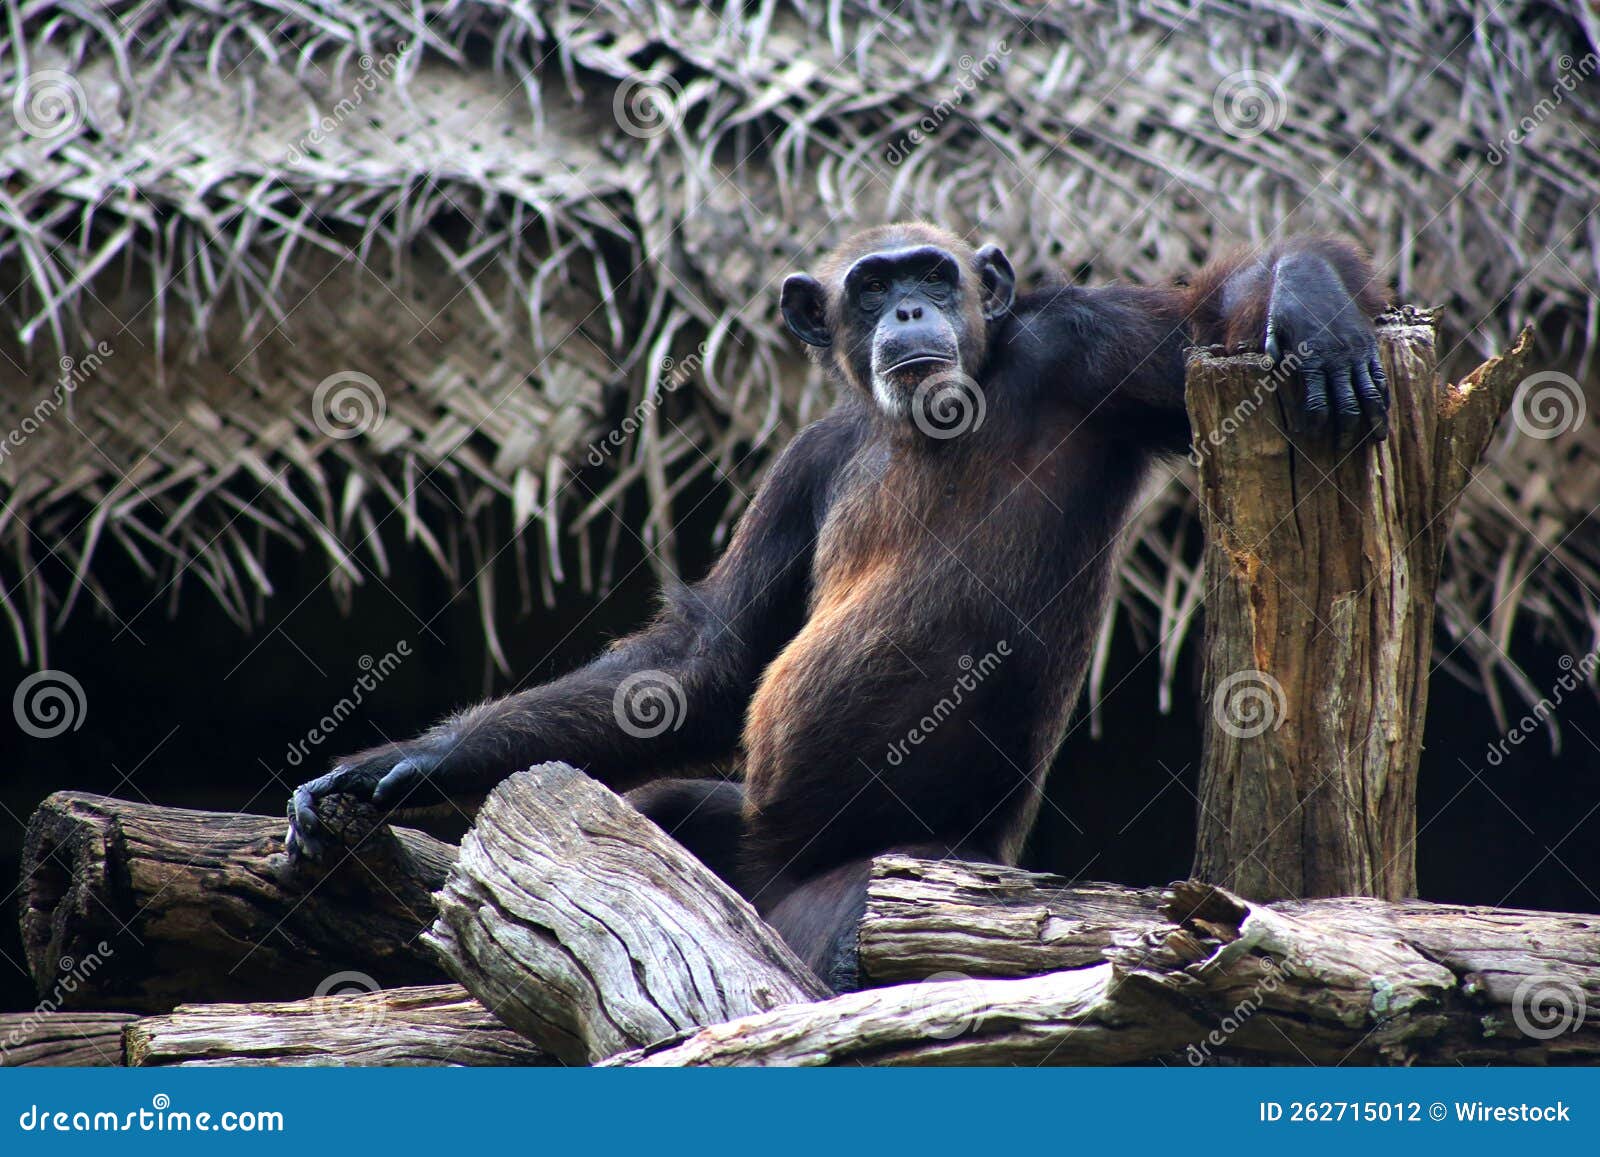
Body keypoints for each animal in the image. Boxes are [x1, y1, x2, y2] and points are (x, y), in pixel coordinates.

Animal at [286, 221, 1387, 990]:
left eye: (933, 274)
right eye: (871, 284)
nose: (905, 311)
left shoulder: (1087, 342)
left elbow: (1202, 324)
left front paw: (1311, 298)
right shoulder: (800, 467)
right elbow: (708, 659)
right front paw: (403, 760)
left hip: (894, 874)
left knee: (840, 935)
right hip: (750, 840)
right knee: (666, 810)